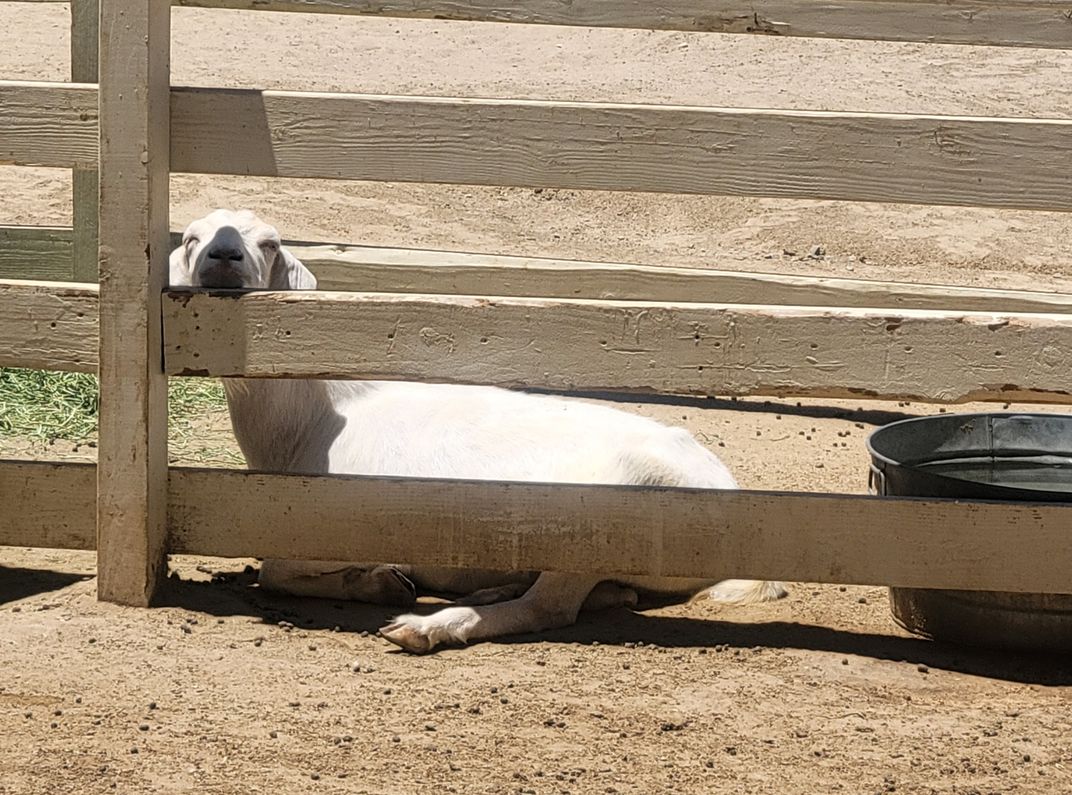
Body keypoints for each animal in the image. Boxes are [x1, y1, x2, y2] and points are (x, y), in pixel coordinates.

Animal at [169, 209, 788, 653]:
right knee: (604, 594)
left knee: (550, 607)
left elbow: (275, 571)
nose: (223, 256)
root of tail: (729, 492)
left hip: (605, 516)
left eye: (271, 242)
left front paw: (381, 582)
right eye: (192, 237)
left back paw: (431, 626)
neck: (314, 418)